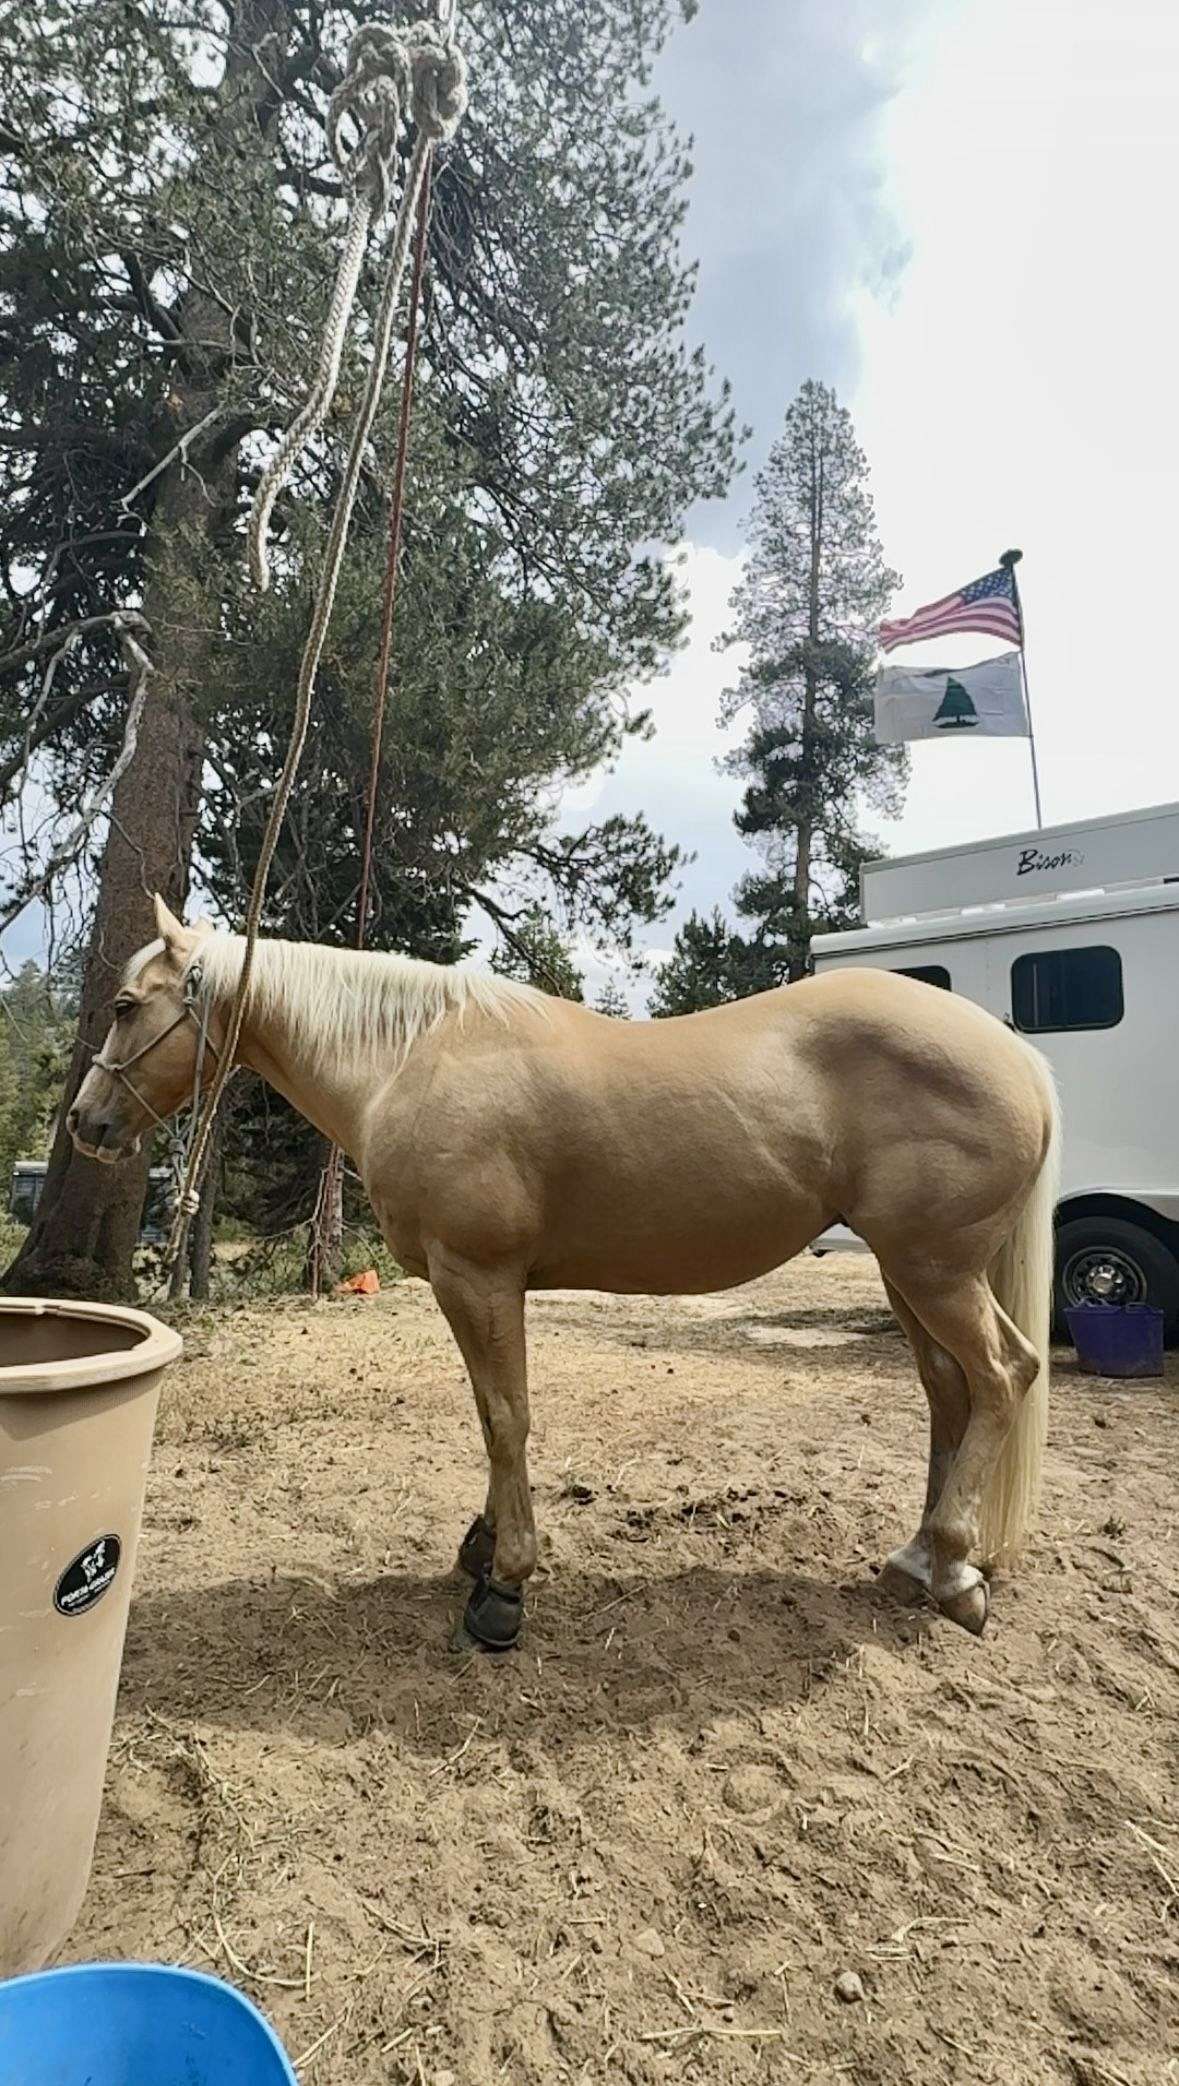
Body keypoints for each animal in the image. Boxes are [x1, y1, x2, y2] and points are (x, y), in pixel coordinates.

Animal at [69, 895, 1060, 1652]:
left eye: (123, 1004)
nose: (85, 1123)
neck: (408, 1060)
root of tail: (1016, 1053)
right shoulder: (468, 1285)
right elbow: (487, 1415)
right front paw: (480, 1548)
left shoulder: (477, 1277)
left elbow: (506, 1416)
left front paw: (503, 1587)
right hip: (908, 1274)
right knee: (948, 1390)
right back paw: (923, 1561)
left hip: (934, 1271)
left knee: (1002, 1374)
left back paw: (953, 1565)